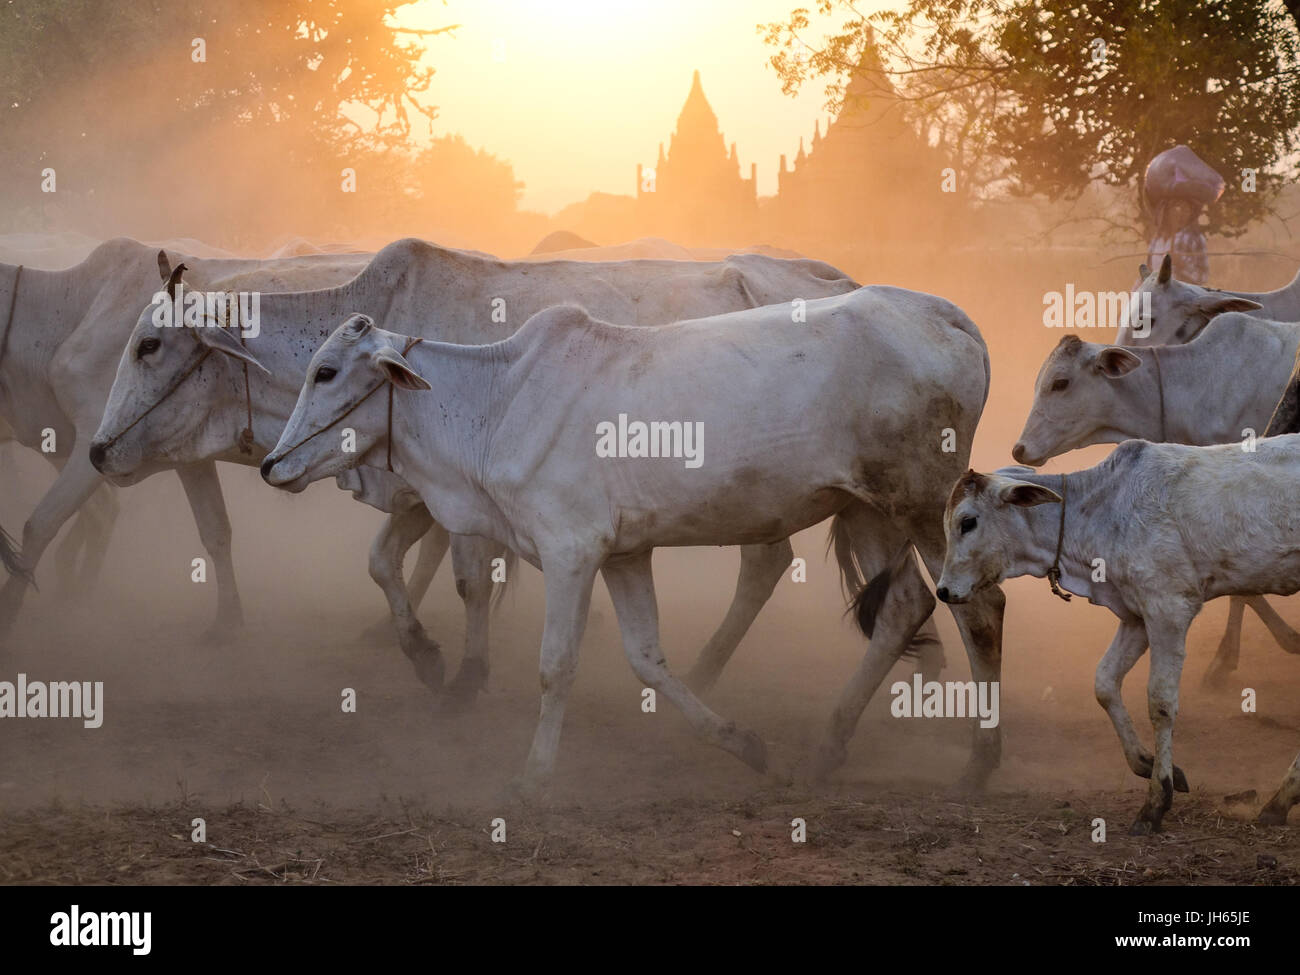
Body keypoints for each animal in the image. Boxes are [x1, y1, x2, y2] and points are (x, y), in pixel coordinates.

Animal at [91, 238, 949, 706]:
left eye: (149, 345)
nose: (97, 450)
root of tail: (838, 279)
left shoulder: (452, 496)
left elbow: (464, 578)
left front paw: (463, 672)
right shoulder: (421, 493)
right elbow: (385, 562)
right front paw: (423, 650)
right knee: (798, 569)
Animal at [257, 292, 998, 790]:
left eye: (326, 372)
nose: (270, 465)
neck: (494, 403)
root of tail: (946, 313)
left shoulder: (570, 553)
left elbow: (556, 664)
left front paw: (534, 775)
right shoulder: (623, 555)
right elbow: (647, 659)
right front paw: (741, 742)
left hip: (925, 504)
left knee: (978, 610)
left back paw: (978, 763)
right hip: (871, 510)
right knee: (903, 608)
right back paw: (828, 748)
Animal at [937, 439, 1300, 831]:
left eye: (967, 522)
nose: (942, 591)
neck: (1104, 510)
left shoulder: (1169, 608)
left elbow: (1160, 703)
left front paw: (1156, 801)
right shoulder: (1135, 616)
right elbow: (1105, 684)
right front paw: (1147, 764)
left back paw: (1281, 798)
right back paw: (1280, 801)